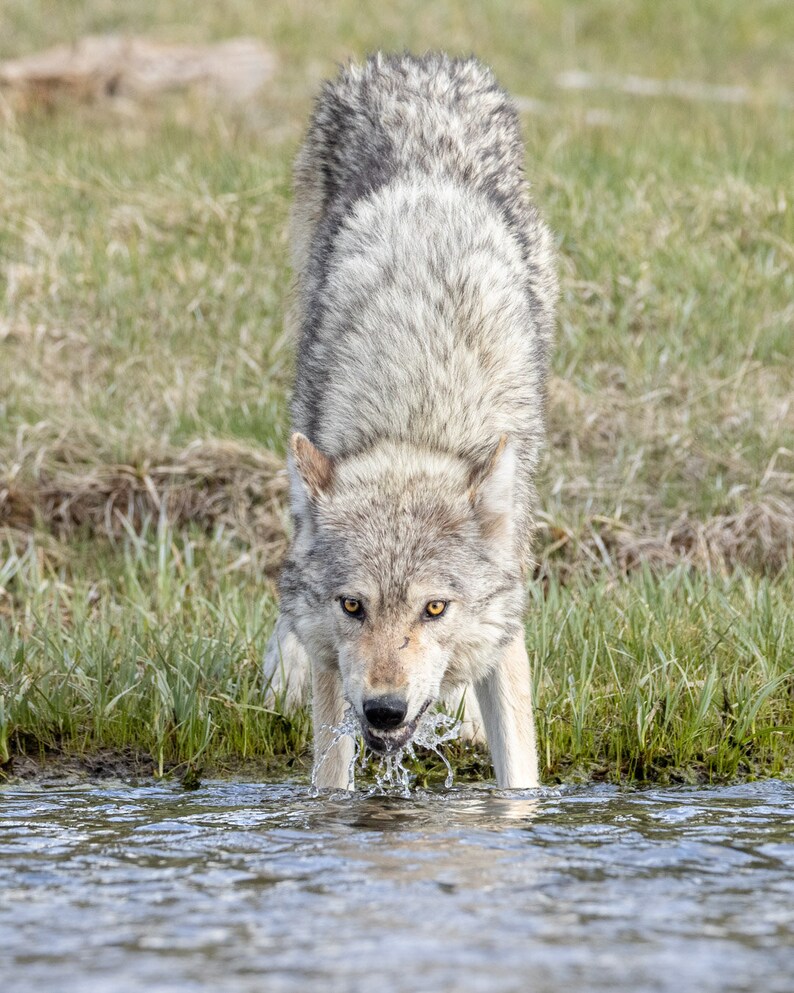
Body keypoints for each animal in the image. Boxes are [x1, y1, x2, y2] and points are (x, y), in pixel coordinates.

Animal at [264, 52, 557, 790]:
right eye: (353, 605)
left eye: (434, 607)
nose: (387, 710)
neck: (414, 415)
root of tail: (415, 62)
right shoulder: (337, 671)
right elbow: (329, 780)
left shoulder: (505, 618)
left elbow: (520, 777)